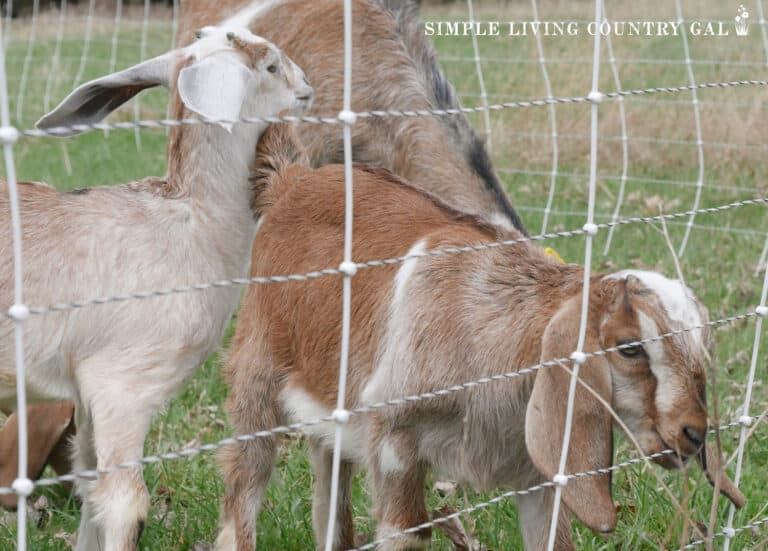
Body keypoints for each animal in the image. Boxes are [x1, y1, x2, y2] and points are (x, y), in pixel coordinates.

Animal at [0, 28, 312, 550]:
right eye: (270, 66)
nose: (308, 87)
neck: (191, 222)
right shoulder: (125, 384)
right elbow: (125, 505)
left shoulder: (87, 393)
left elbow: (90, 485)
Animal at [217, 124, 744, 551]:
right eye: (629, 347)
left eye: (701, 349)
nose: (693, 433)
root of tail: (293, 179)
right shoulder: (395, 443)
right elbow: (407, 533)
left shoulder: (536, 467)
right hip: (256, 375)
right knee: (245, 481)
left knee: (330, 500)